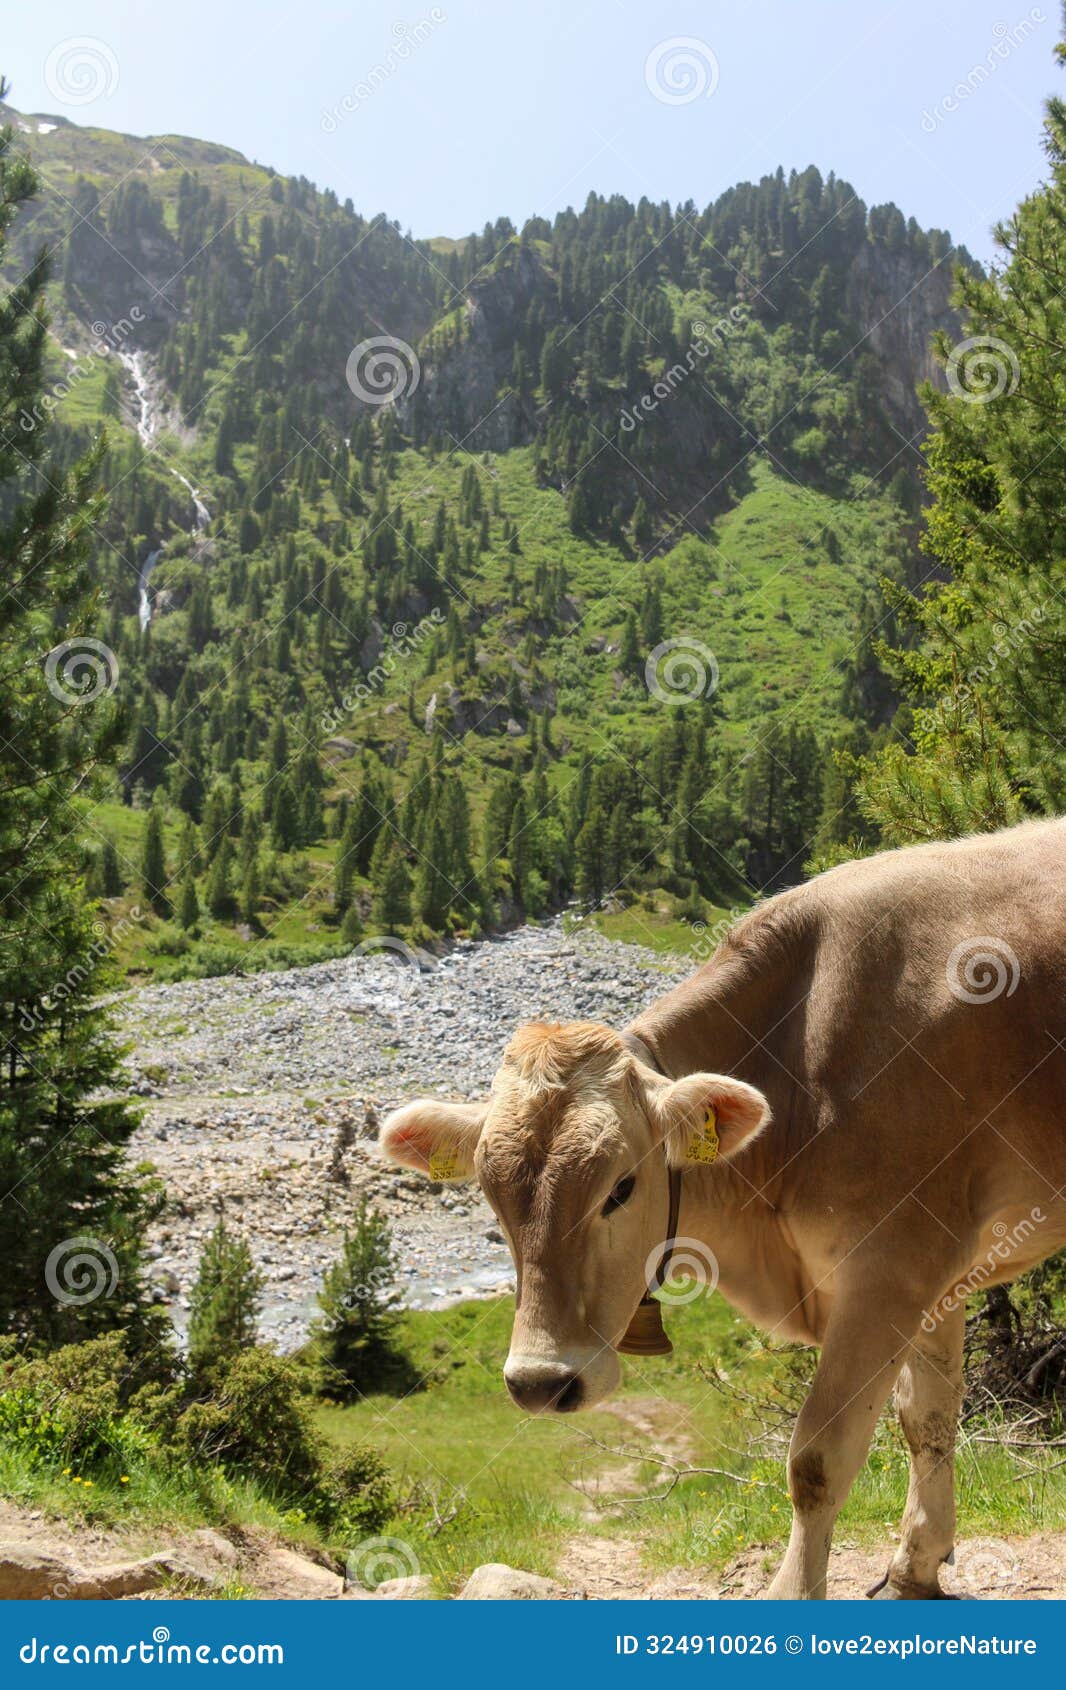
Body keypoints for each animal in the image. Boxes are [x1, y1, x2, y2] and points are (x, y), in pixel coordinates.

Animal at [380, 819, 1066, 1599]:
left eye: (620, 1188)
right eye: (493, 1203)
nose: (538, 1383)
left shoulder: (893, 1269)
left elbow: (818, 1458)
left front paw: (794, 1591)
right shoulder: (937, 1272)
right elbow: (929, 1419)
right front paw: (914, 1567)